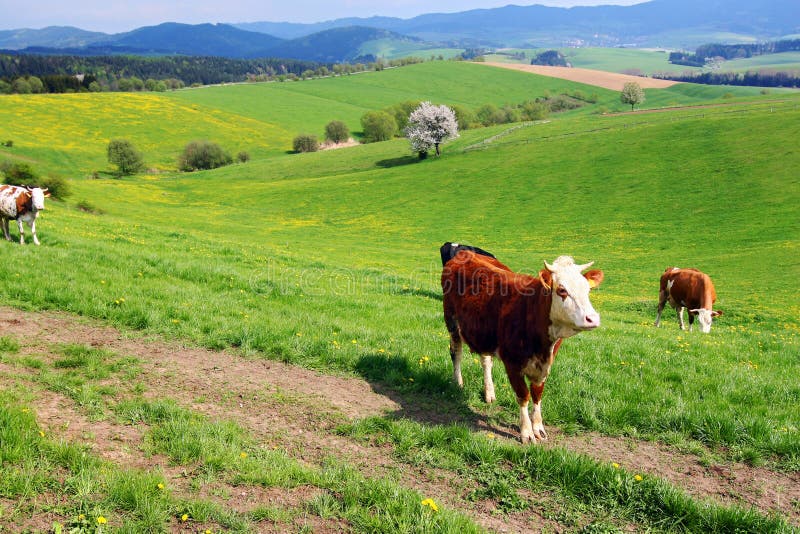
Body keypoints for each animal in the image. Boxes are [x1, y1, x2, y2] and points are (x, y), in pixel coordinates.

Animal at [441, 247, 604, 443]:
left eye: (587, 289)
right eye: (562, 290)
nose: (592, 318)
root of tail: (465, 252)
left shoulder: (545, 365)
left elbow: (537, 394)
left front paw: (539, 428)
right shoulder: (512, 363)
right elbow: (523, 396)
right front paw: (526, 432)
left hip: (484, 332)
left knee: (486, 361)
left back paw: (489, 393)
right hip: (451, 321)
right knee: (456, 352)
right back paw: (458, 382)